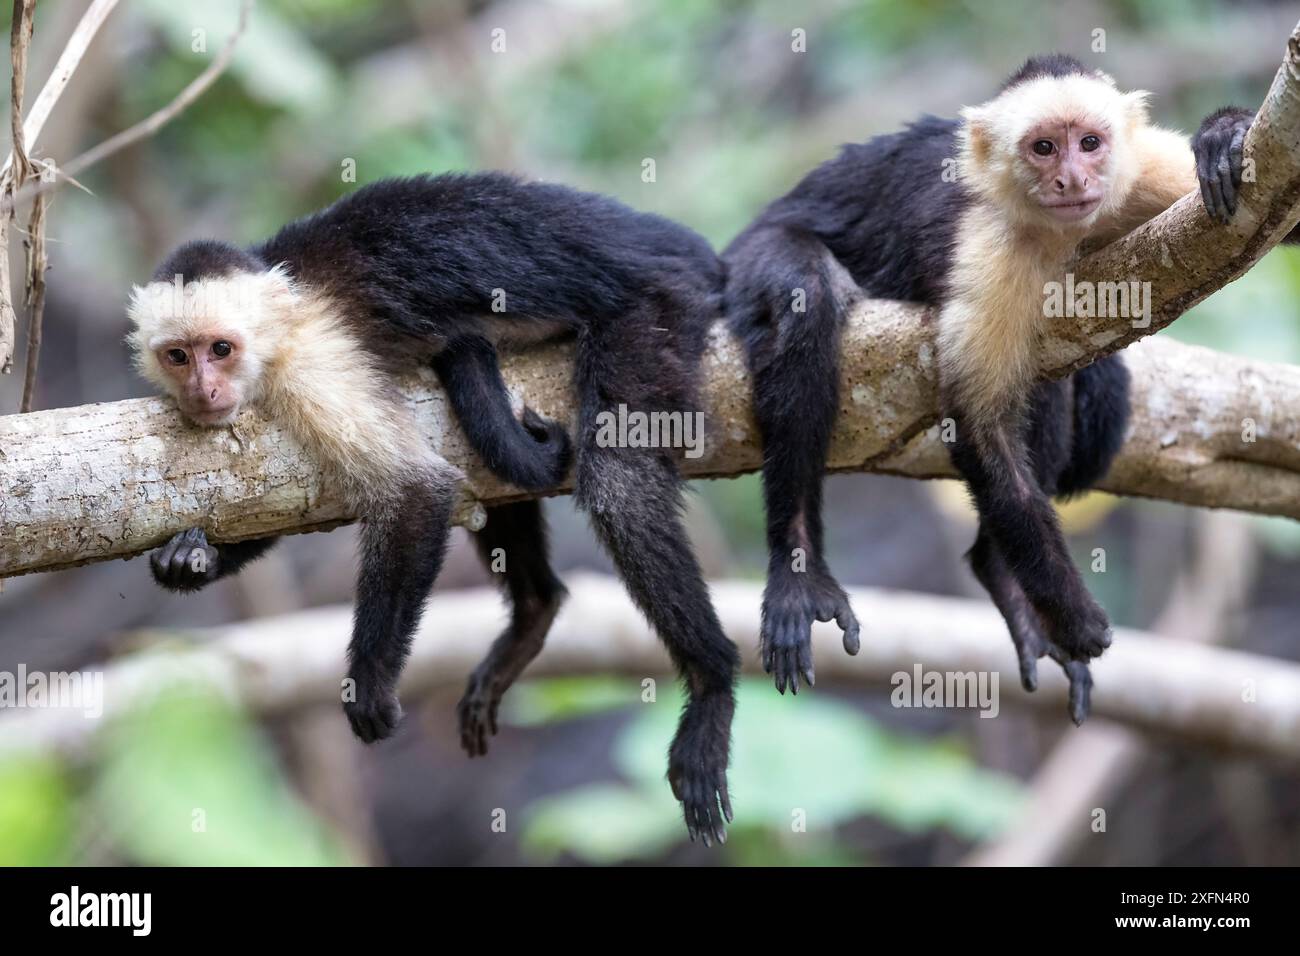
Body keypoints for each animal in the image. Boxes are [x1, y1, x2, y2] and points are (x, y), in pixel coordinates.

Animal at [129, 172, 738, 844]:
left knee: (620, 483)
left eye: (221, 349)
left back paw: (713, 683)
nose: (202, 390)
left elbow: (417, 490)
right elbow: (283, 503)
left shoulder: (315, 366)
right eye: (178, 356)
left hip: (661, 303)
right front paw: (190, 562)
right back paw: (534, 613)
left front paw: (369, 682)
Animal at [723, 54, 1291, 722]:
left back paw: (997, 569)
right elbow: (981, 424)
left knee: (1049, 386)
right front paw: (1073, 616)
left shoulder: (1146, 171)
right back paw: (799, 570)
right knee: (806, 307)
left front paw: (1226, 136)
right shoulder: (991, 248)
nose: (1071, 179)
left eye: (1090, 143)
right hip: (754, 254)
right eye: (1043, 148)